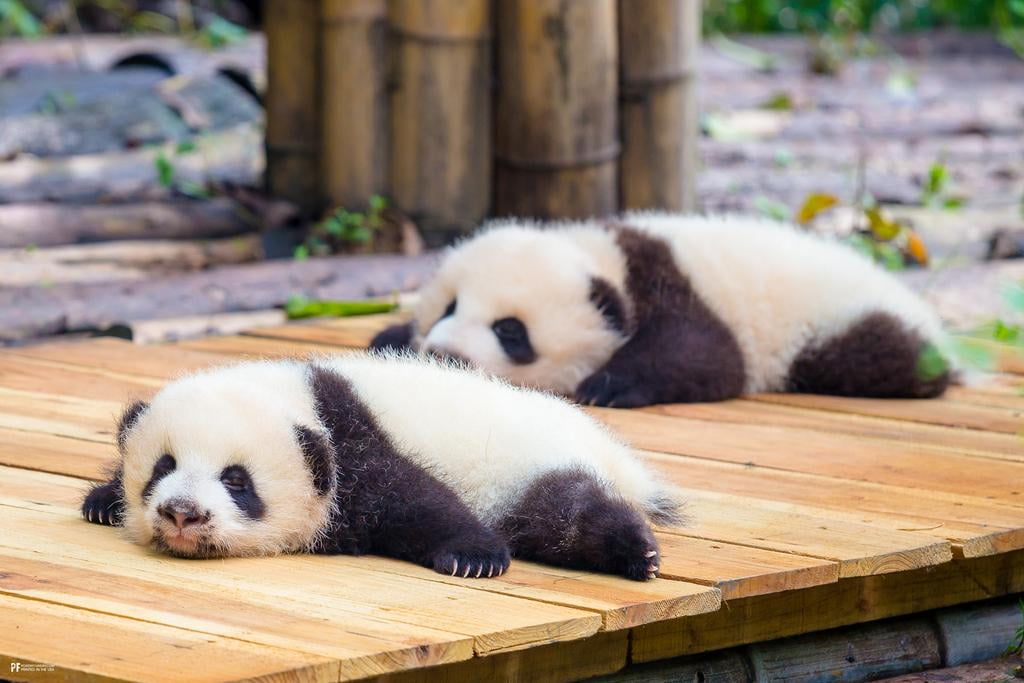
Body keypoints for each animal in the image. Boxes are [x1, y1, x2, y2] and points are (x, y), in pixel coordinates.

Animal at [81, 353, 678, 580]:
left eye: (236, 480)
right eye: (162, 467)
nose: (183, 513)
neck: (297, 395)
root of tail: (607, 448)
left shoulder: (355, 445)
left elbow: (418, 500)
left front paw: (474, 557)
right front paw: (103, 501)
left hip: (531, 464)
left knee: (566, 513)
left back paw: (637, 552)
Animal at [371, 212, 954, 407]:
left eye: (511, 331)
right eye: (448, 306)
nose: (445, 353)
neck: (607, 256)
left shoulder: (676, 290)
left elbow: (707, 356)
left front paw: (609, 385)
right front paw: (390, 339)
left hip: (838, 324)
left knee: (878, 355)